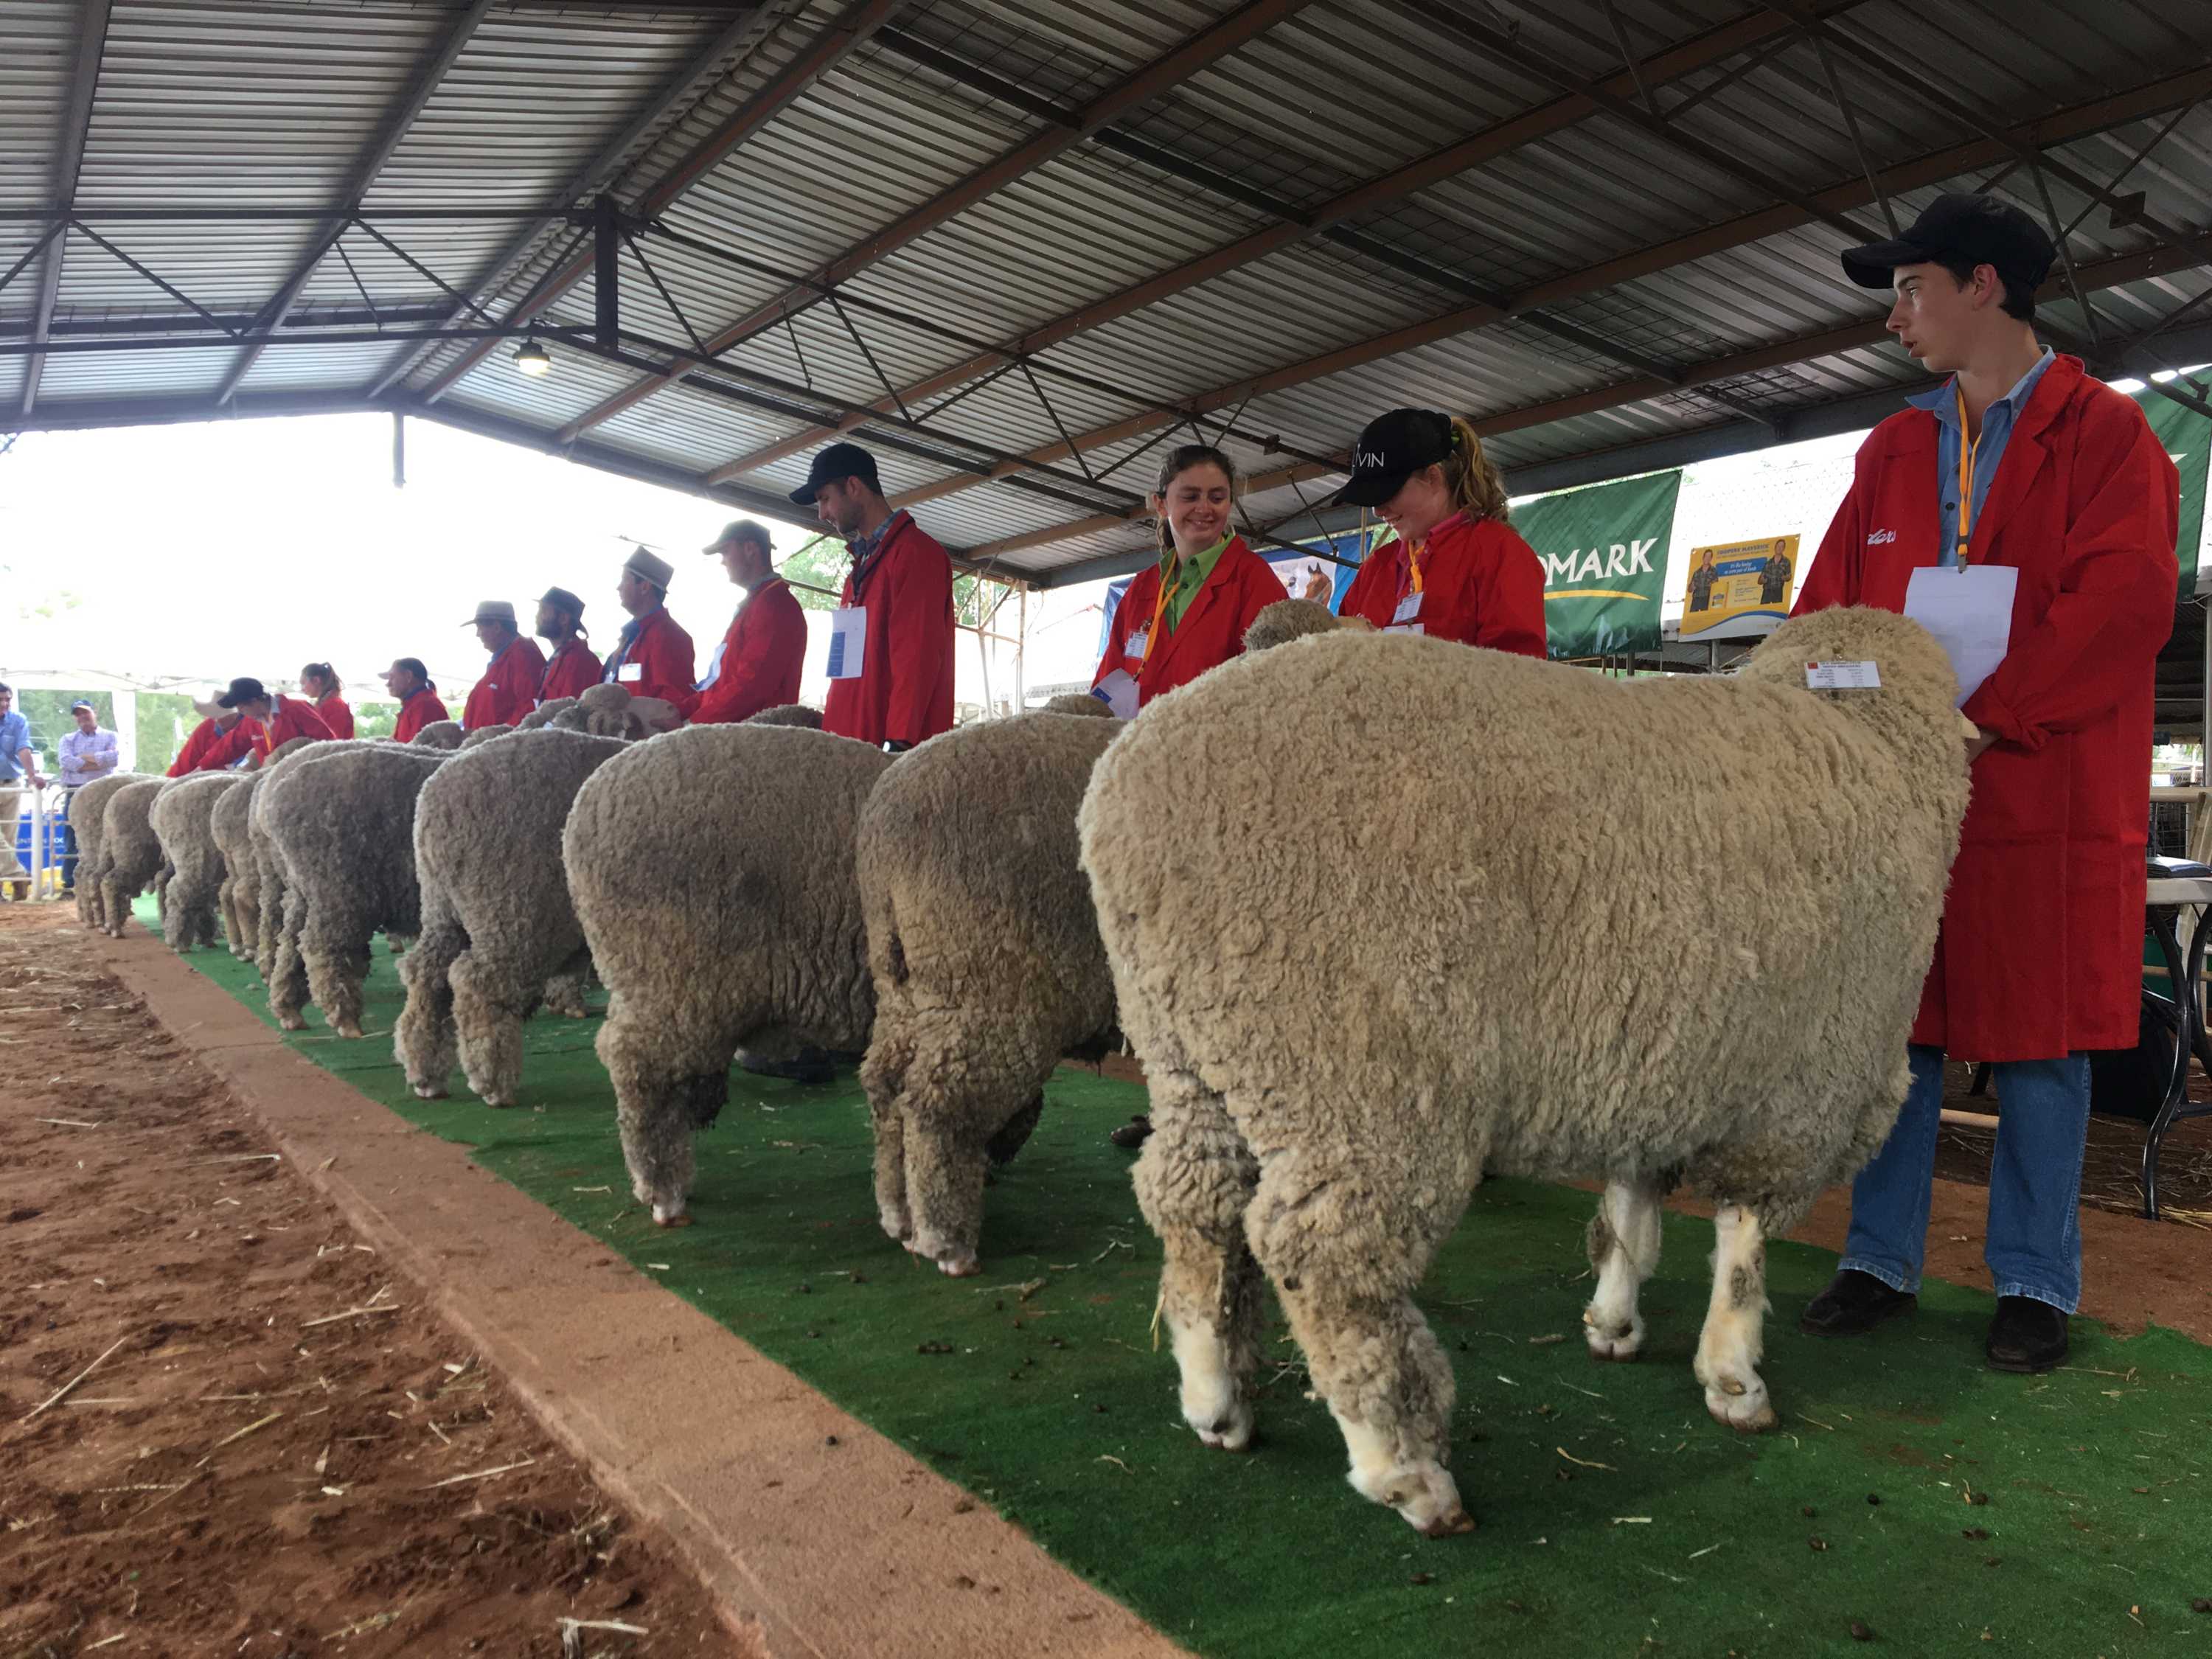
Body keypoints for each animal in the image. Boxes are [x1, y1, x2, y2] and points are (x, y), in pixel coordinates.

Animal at [259, 743, 447, 1037]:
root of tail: (277, 796)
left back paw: (288, 1009)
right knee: (318, 946)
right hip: (339, 892)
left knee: (290, 944)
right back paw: (345, 1019)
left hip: (305, 892)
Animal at [396, 727, 627, 1105]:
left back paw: (425, 1074)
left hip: (443, 908)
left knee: (426, 974)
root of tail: (432, 803)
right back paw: (492, 1083)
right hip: (515, 911)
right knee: (475, 982)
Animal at [856, 711, 1125, 1275]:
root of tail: (881, 832)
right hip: (993, 987)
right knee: (937, 1104)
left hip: (909, 988)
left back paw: (898, 1215)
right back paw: (946, 1243)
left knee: (885, 1084)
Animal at [1077, 607, 1971, 1537]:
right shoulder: (1800, 1086)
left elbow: (1632, 1210)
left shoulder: (1659, 1056)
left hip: (1199, 1052)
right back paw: (1408, 1472)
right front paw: (1734, 1374)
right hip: (1358, 1069)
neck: (1874, 741)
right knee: (1323, 1260)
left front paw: (1614, 1320)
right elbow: (1744, 1247)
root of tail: (1129, 784)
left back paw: (1216, 1404)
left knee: (1196, 1210)